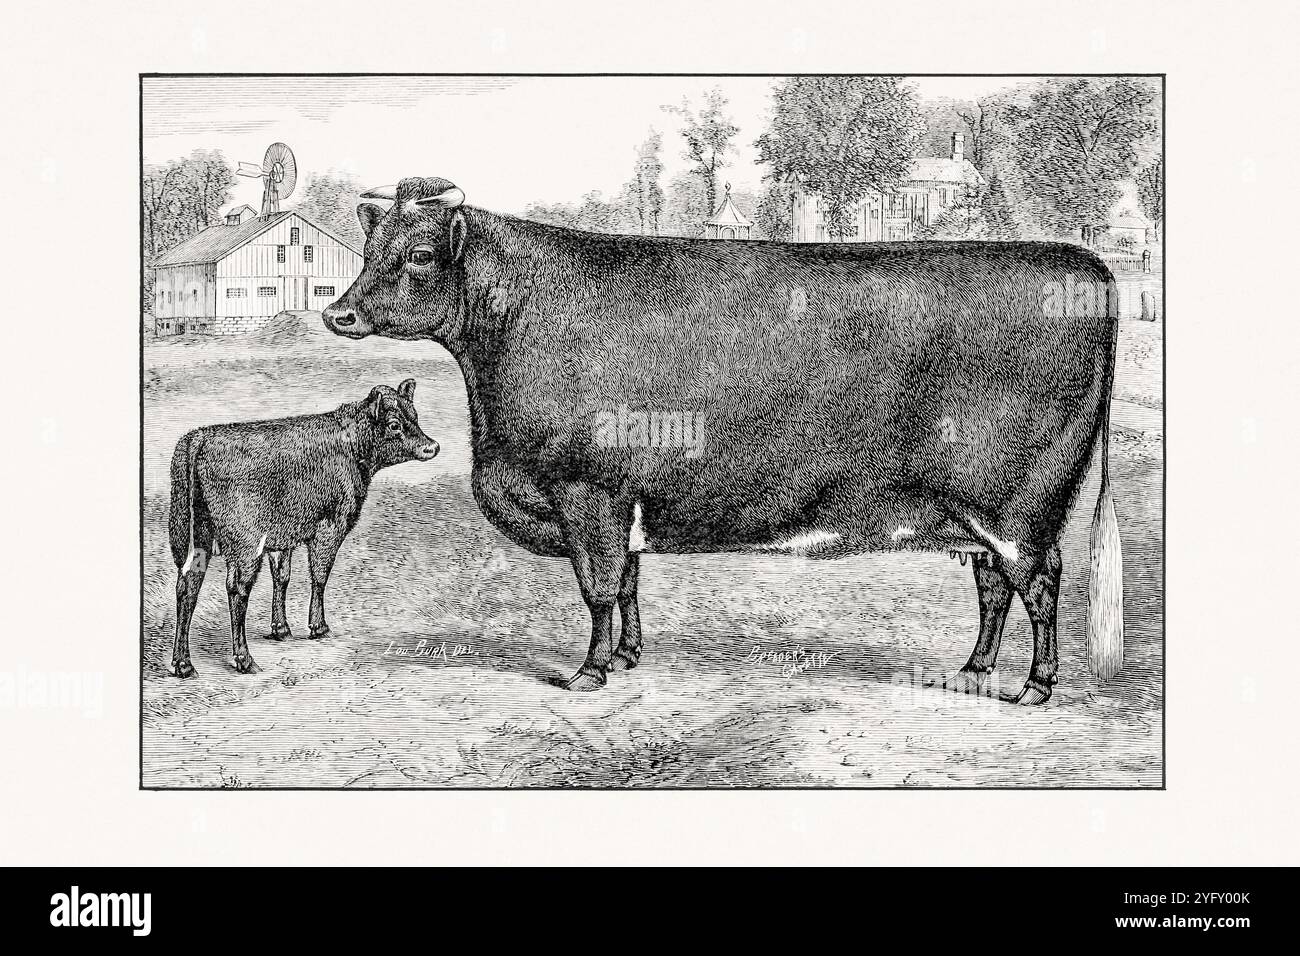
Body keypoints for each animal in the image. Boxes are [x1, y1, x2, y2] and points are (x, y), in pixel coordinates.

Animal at [167, 380, 440, 678]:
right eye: (393, 424)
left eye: (415, 416)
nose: (432, 446)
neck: (350, 444)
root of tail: (200, 437)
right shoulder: (330, 527)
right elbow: (320, 575)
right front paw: (319, 627)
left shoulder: (281, 539)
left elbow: (282, 577)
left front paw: (281, 629)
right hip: (246, 546)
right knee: (237, 590)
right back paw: (244, 659)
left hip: (199, 541)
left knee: (187, 586)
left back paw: (183, 664)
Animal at [323, 177, 1123, 705]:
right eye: (370, 246)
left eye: (418, 254)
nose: (339, 313)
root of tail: (1087, 266)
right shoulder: (626, 497)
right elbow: (629, 581)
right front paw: (629, 656)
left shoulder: (589, 490)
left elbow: (597, 586)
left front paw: (589, 672)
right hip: (974, 514)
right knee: (994, 588)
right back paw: (973, 672)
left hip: (1020, 506)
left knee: (1040, 583)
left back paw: (1035, 686)